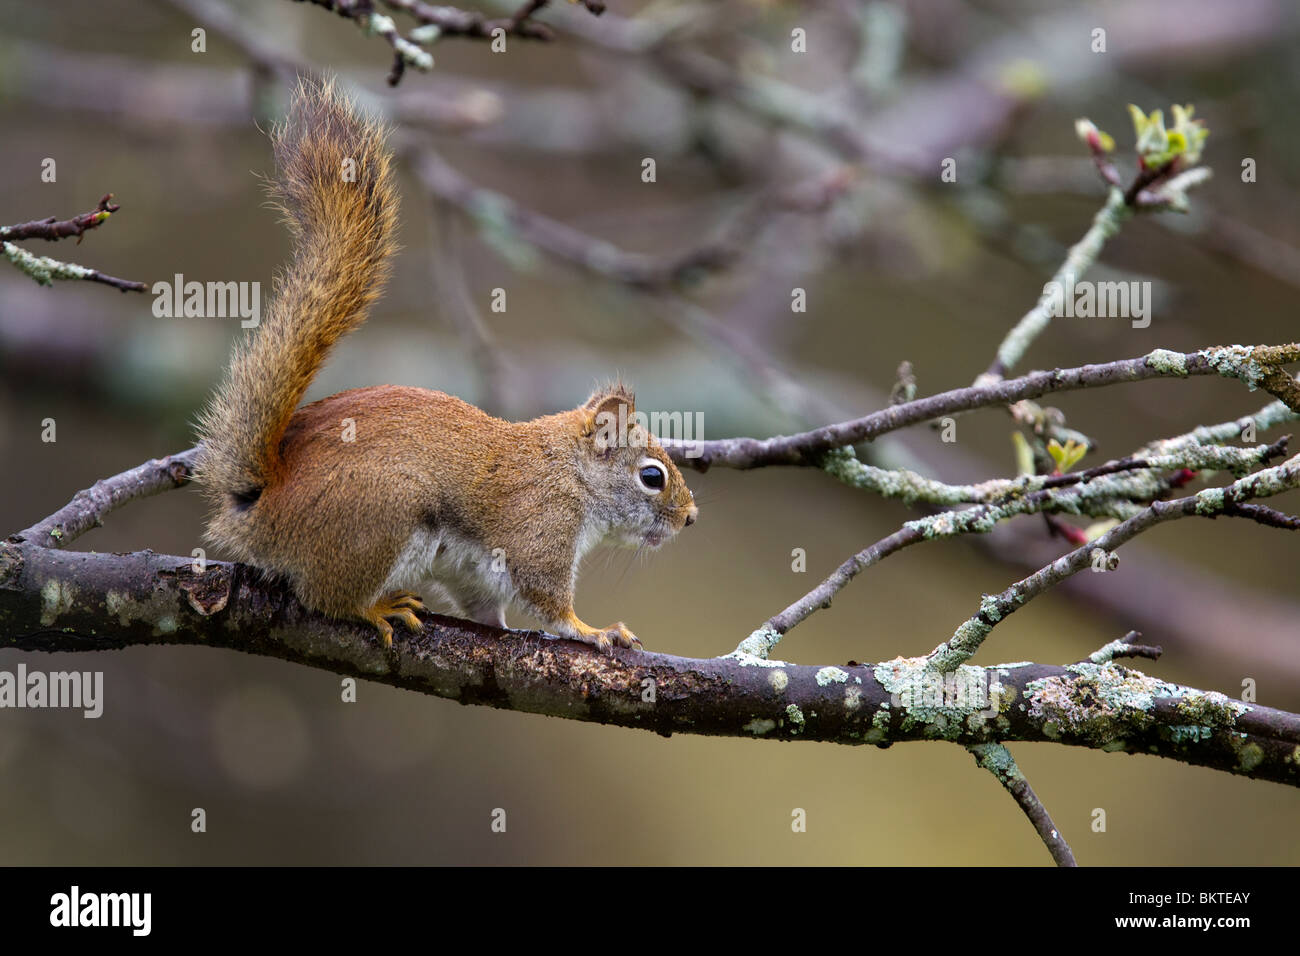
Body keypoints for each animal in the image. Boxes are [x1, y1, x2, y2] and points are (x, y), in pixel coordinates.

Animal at [195, 78, 697, 652]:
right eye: (652, 476)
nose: (690, 517)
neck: (567, 473)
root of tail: (260, 508)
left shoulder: (473, 573)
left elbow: (484, 606)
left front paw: (499, 629)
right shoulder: (539, 529)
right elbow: (551, 601)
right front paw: (597, 630)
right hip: (379, 520)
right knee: (324, 597)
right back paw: (377, 606)